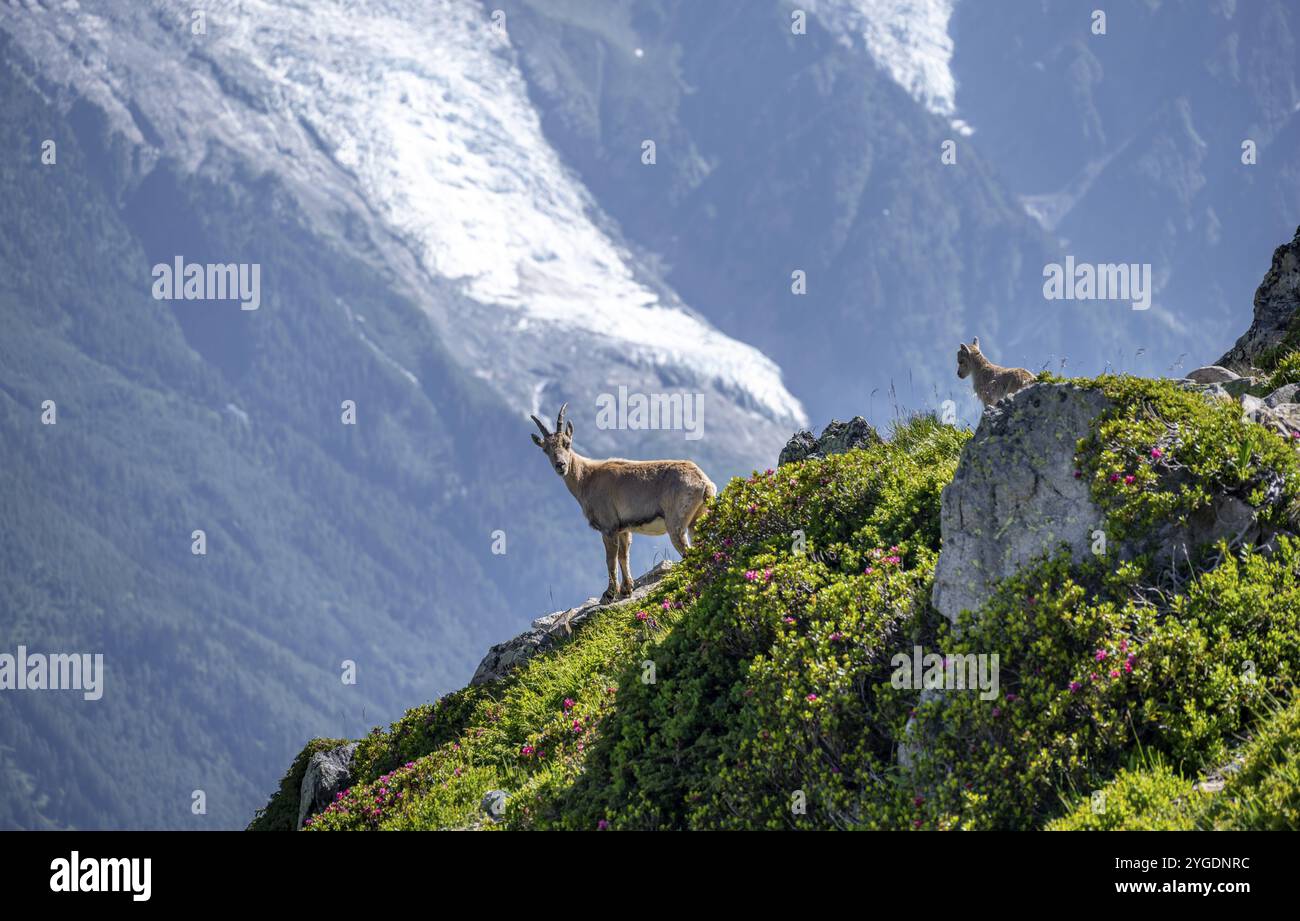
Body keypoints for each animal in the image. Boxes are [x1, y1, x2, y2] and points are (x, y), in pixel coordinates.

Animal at [530, 403, 717, 603]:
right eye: (546, 449)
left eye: (567, 443)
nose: (561, 465)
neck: (587, 478)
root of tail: (704, 483)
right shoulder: (623, 528)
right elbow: (623, 556)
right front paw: (627, 589)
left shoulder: (608, 527)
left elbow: (610, 560)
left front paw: (609, 594)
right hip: (696, 521)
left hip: (676, 524)